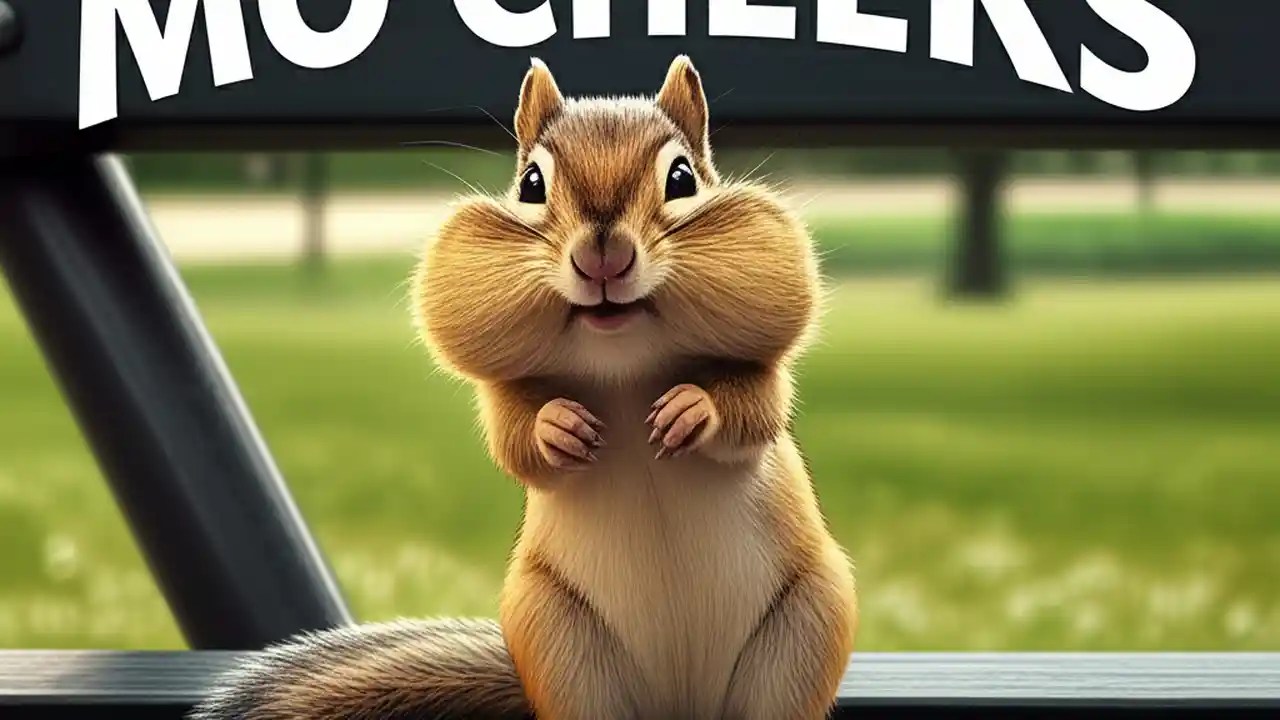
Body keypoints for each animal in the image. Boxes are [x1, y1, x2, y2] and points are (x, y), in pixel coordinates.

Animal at [188, 55, 857, 720]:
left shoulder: (760, 373)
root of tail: (677, 701)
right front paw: (556, 426)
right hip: (559, 639)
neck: (623, 361)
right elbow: (513, 439)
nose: (604, 257)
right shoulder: (507, 390)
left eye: (683, 178)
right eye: (532, 183)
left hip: (804, 631)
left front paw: (692, 409)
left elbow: (757, 408)